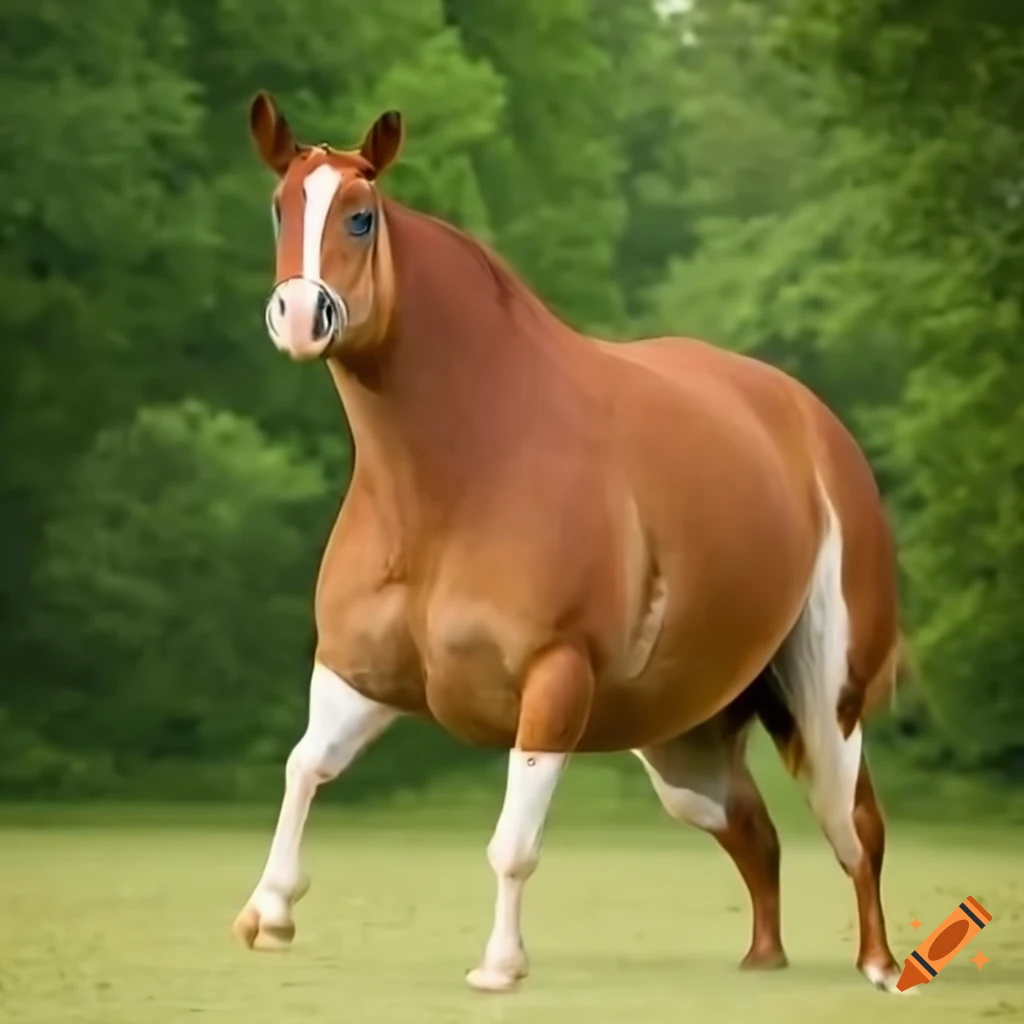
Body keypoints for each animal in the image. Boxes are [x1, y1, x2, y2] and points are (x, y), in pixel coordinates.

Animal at [232, 91, 906, 995]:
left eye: (361, 215)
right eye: (281, 207)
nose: (303, 318)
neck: (460, 477)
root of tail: (818, 427)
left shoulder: (552, 683)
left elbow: (513, 845)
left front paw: (499, 967)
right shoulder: (356, 672)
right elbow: (305, 767)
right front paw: (268, 914)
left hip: (829, 698)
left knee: (853, 823)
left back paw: (880, 967)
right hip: (686, 743)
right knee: (751, 827)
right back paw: (762, 960)